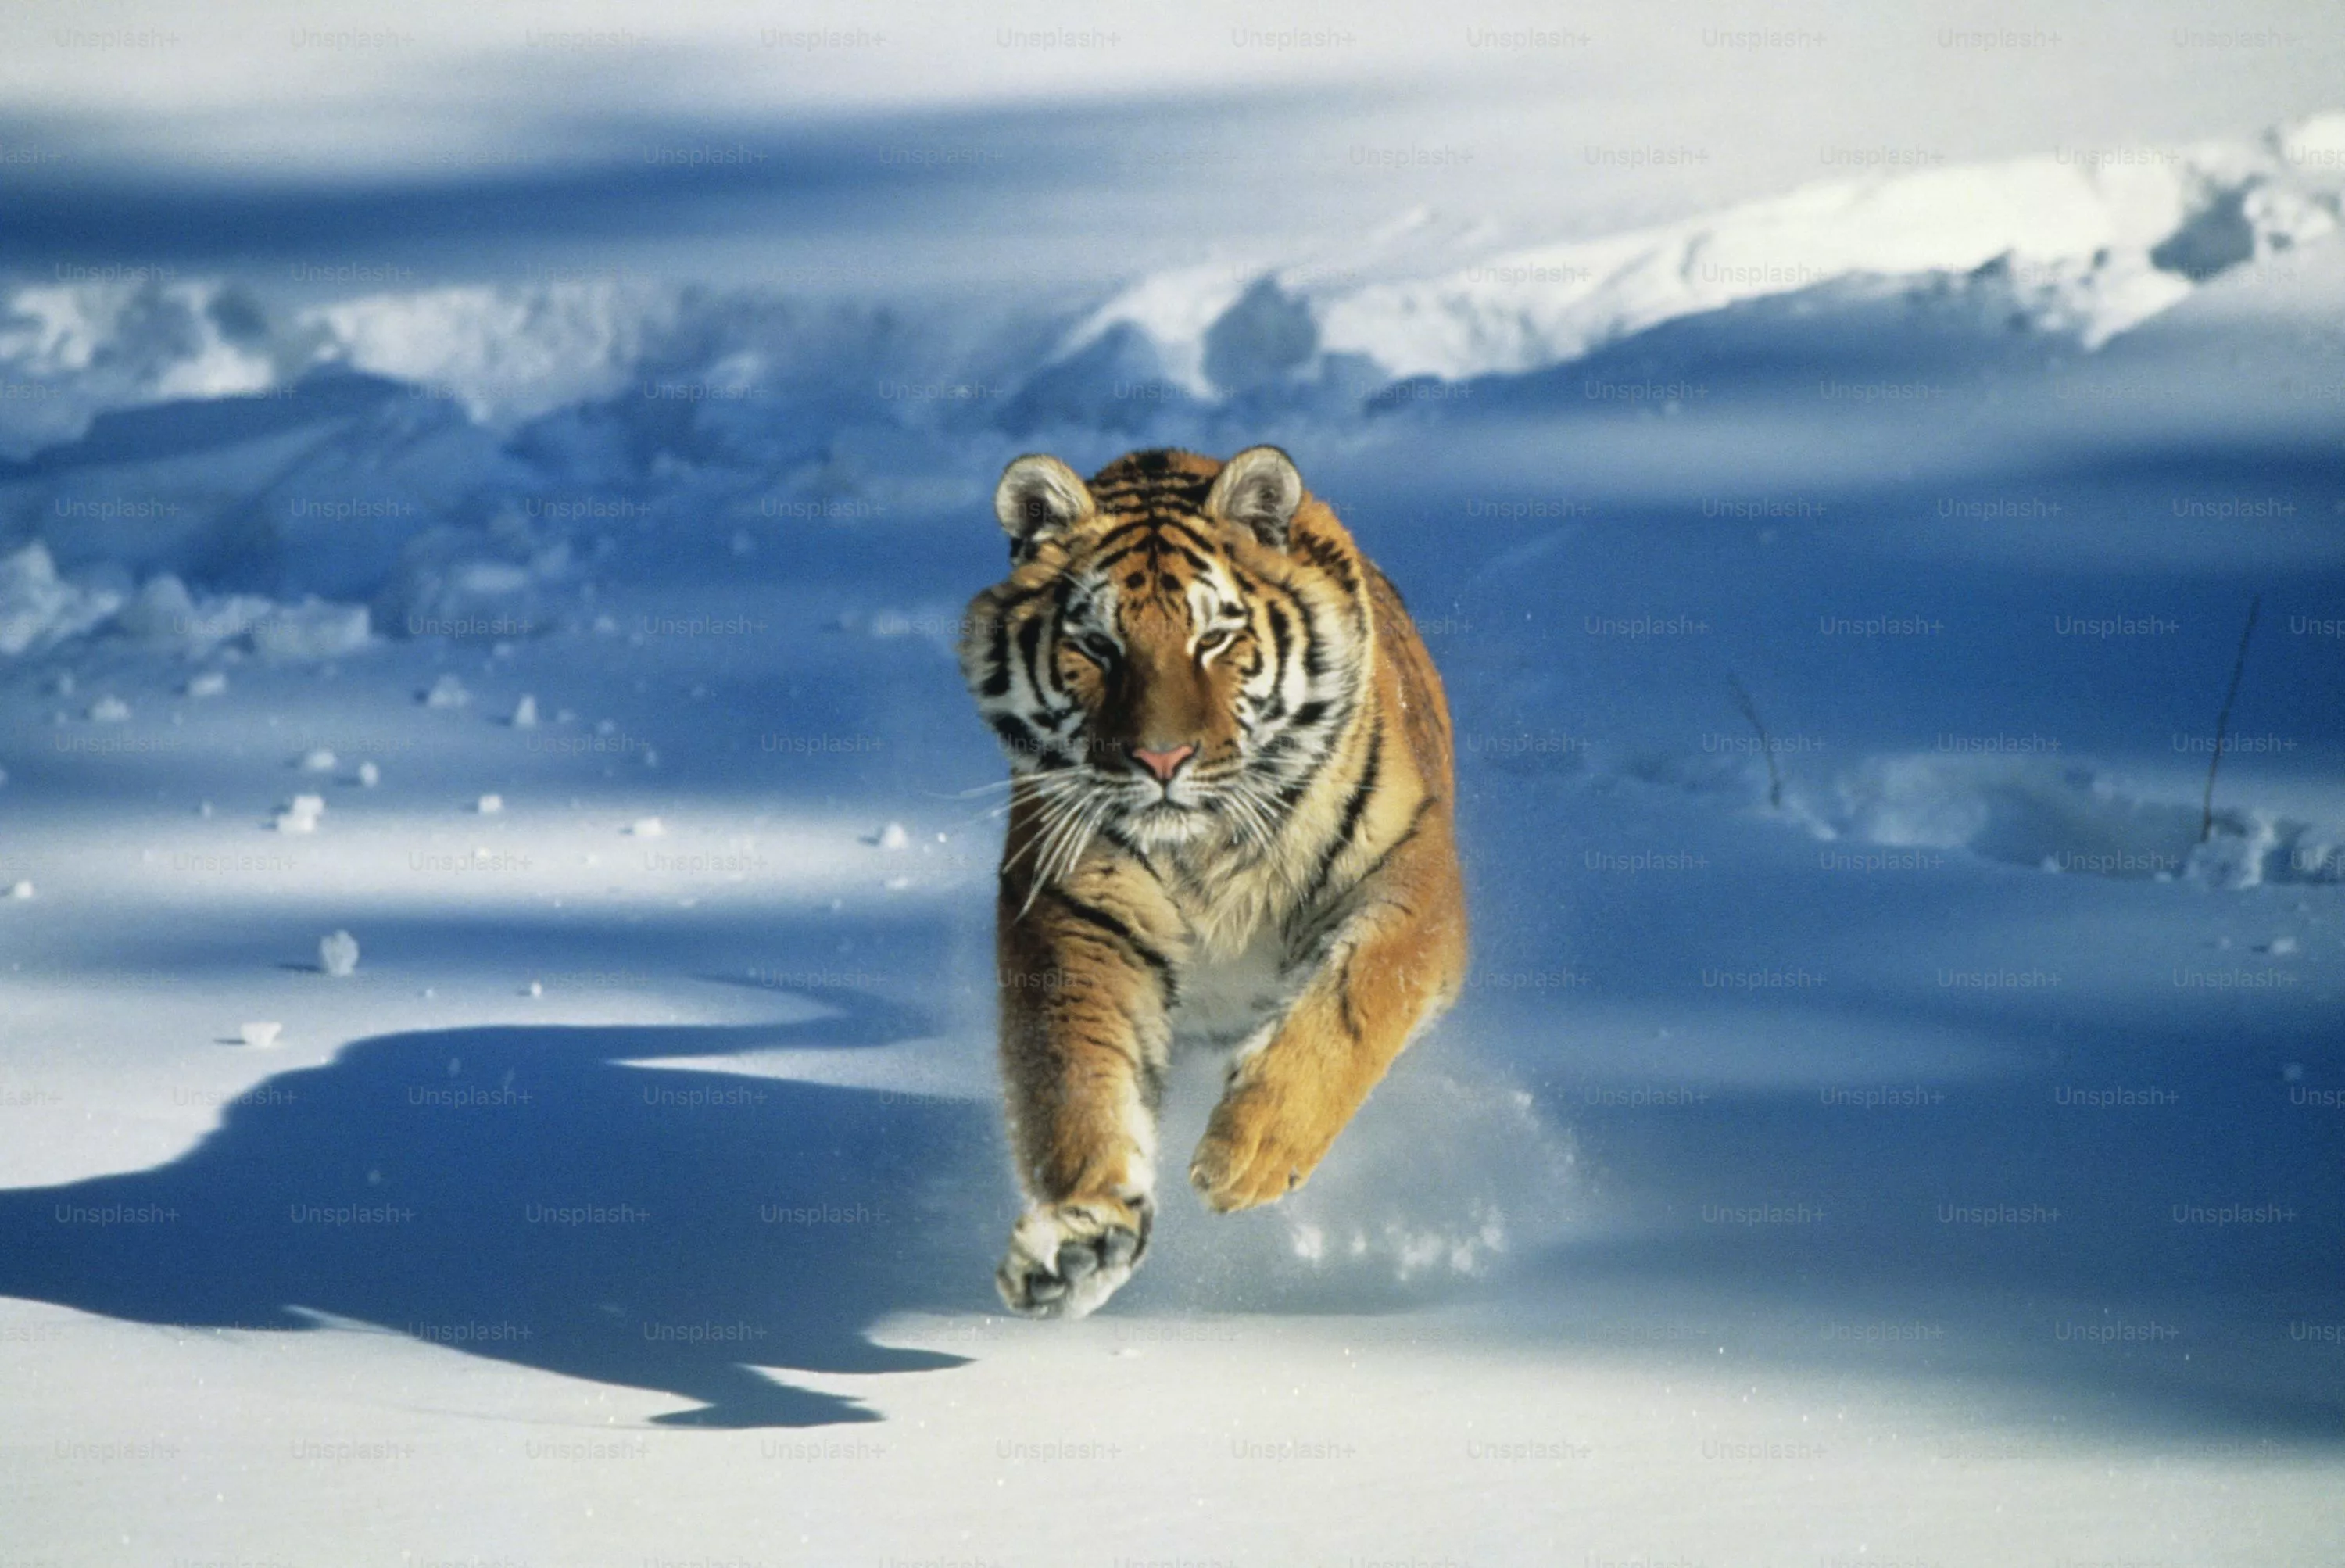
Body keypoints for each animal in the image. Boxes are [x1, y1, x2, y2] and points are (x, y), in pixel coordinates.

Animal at [958, 446, 1469, 1318]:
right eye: (1097, 645)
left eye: (1216, 638)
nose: (1161, 759)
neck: (1205, 850)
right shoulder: (1075, 914)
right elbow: (1076, 1081)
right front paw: (1080, 1241)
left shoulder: (1413, 875)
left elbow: (1358, 999)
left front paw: (1252, 1151)